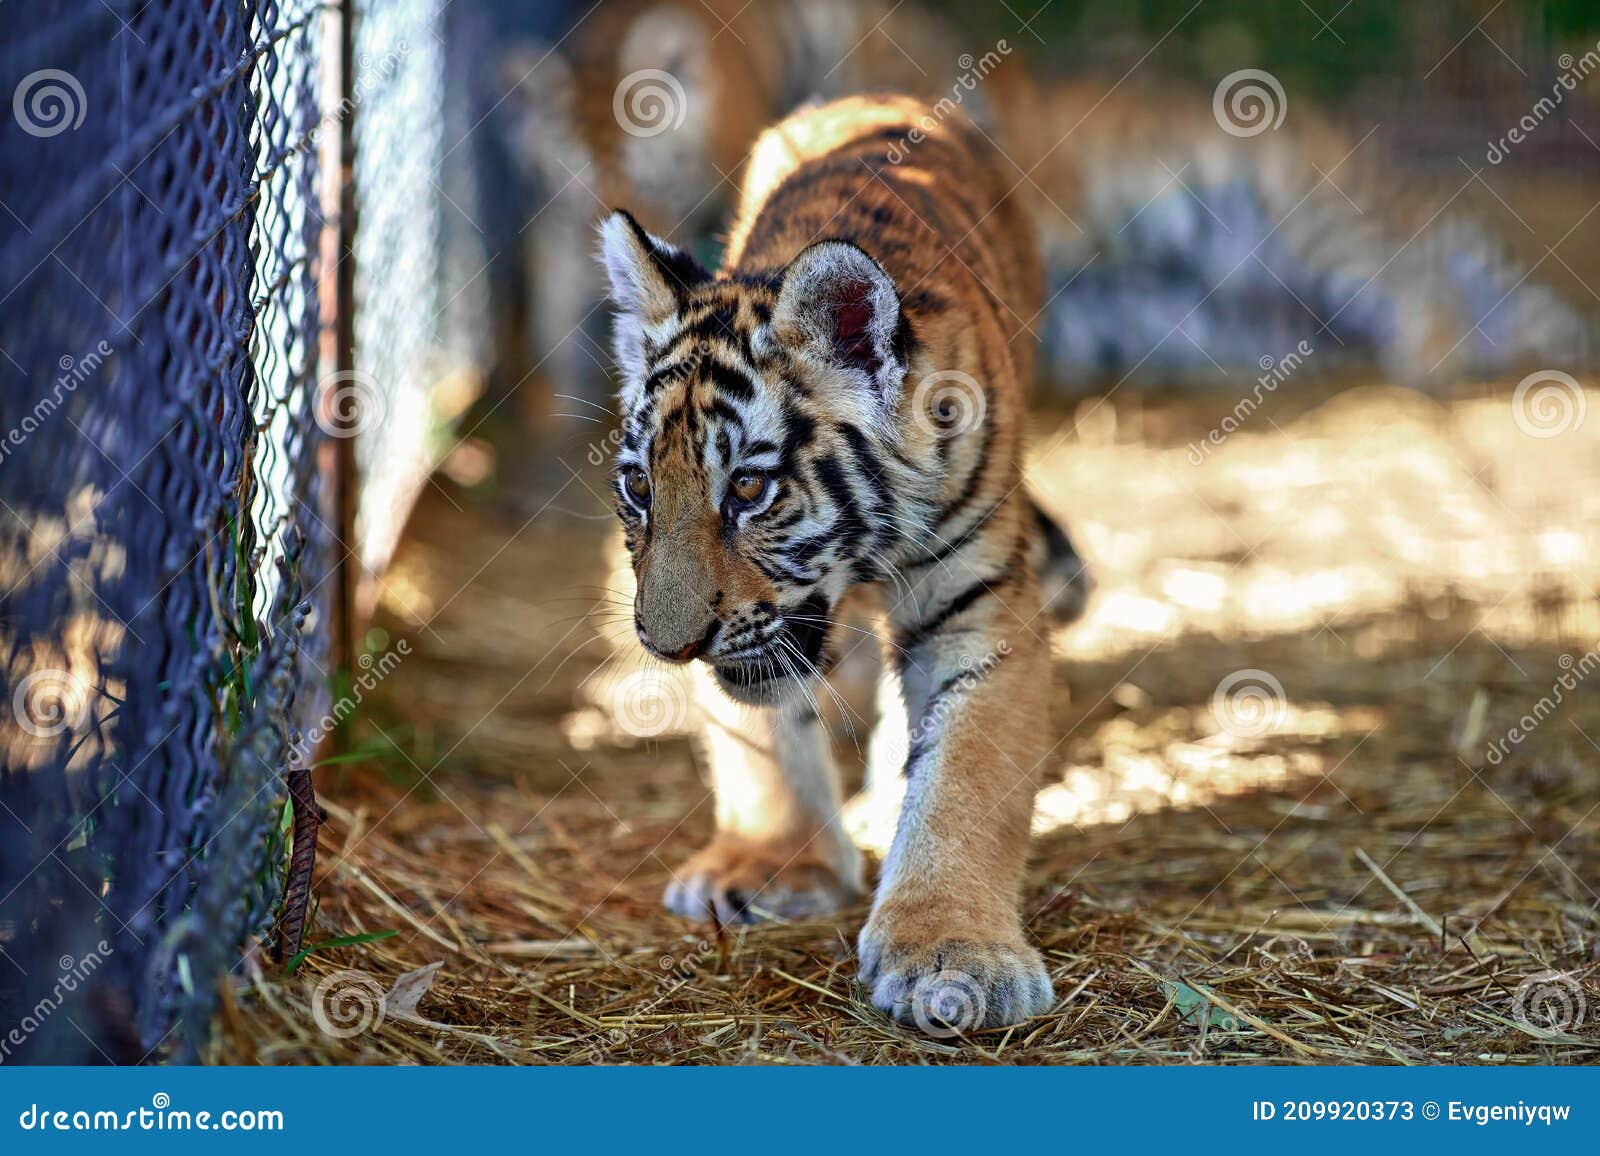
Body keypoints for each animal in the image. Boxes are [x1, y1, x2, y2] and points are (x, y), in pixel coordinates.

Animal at [597, 93, 1061, 1031]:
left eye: (747, 488)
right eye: (638, 486)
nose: (669, 647)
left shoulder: (982, 605)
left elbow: (967, 773)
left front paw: (955, 955)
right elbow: (759, 739)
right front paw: (770, 865)